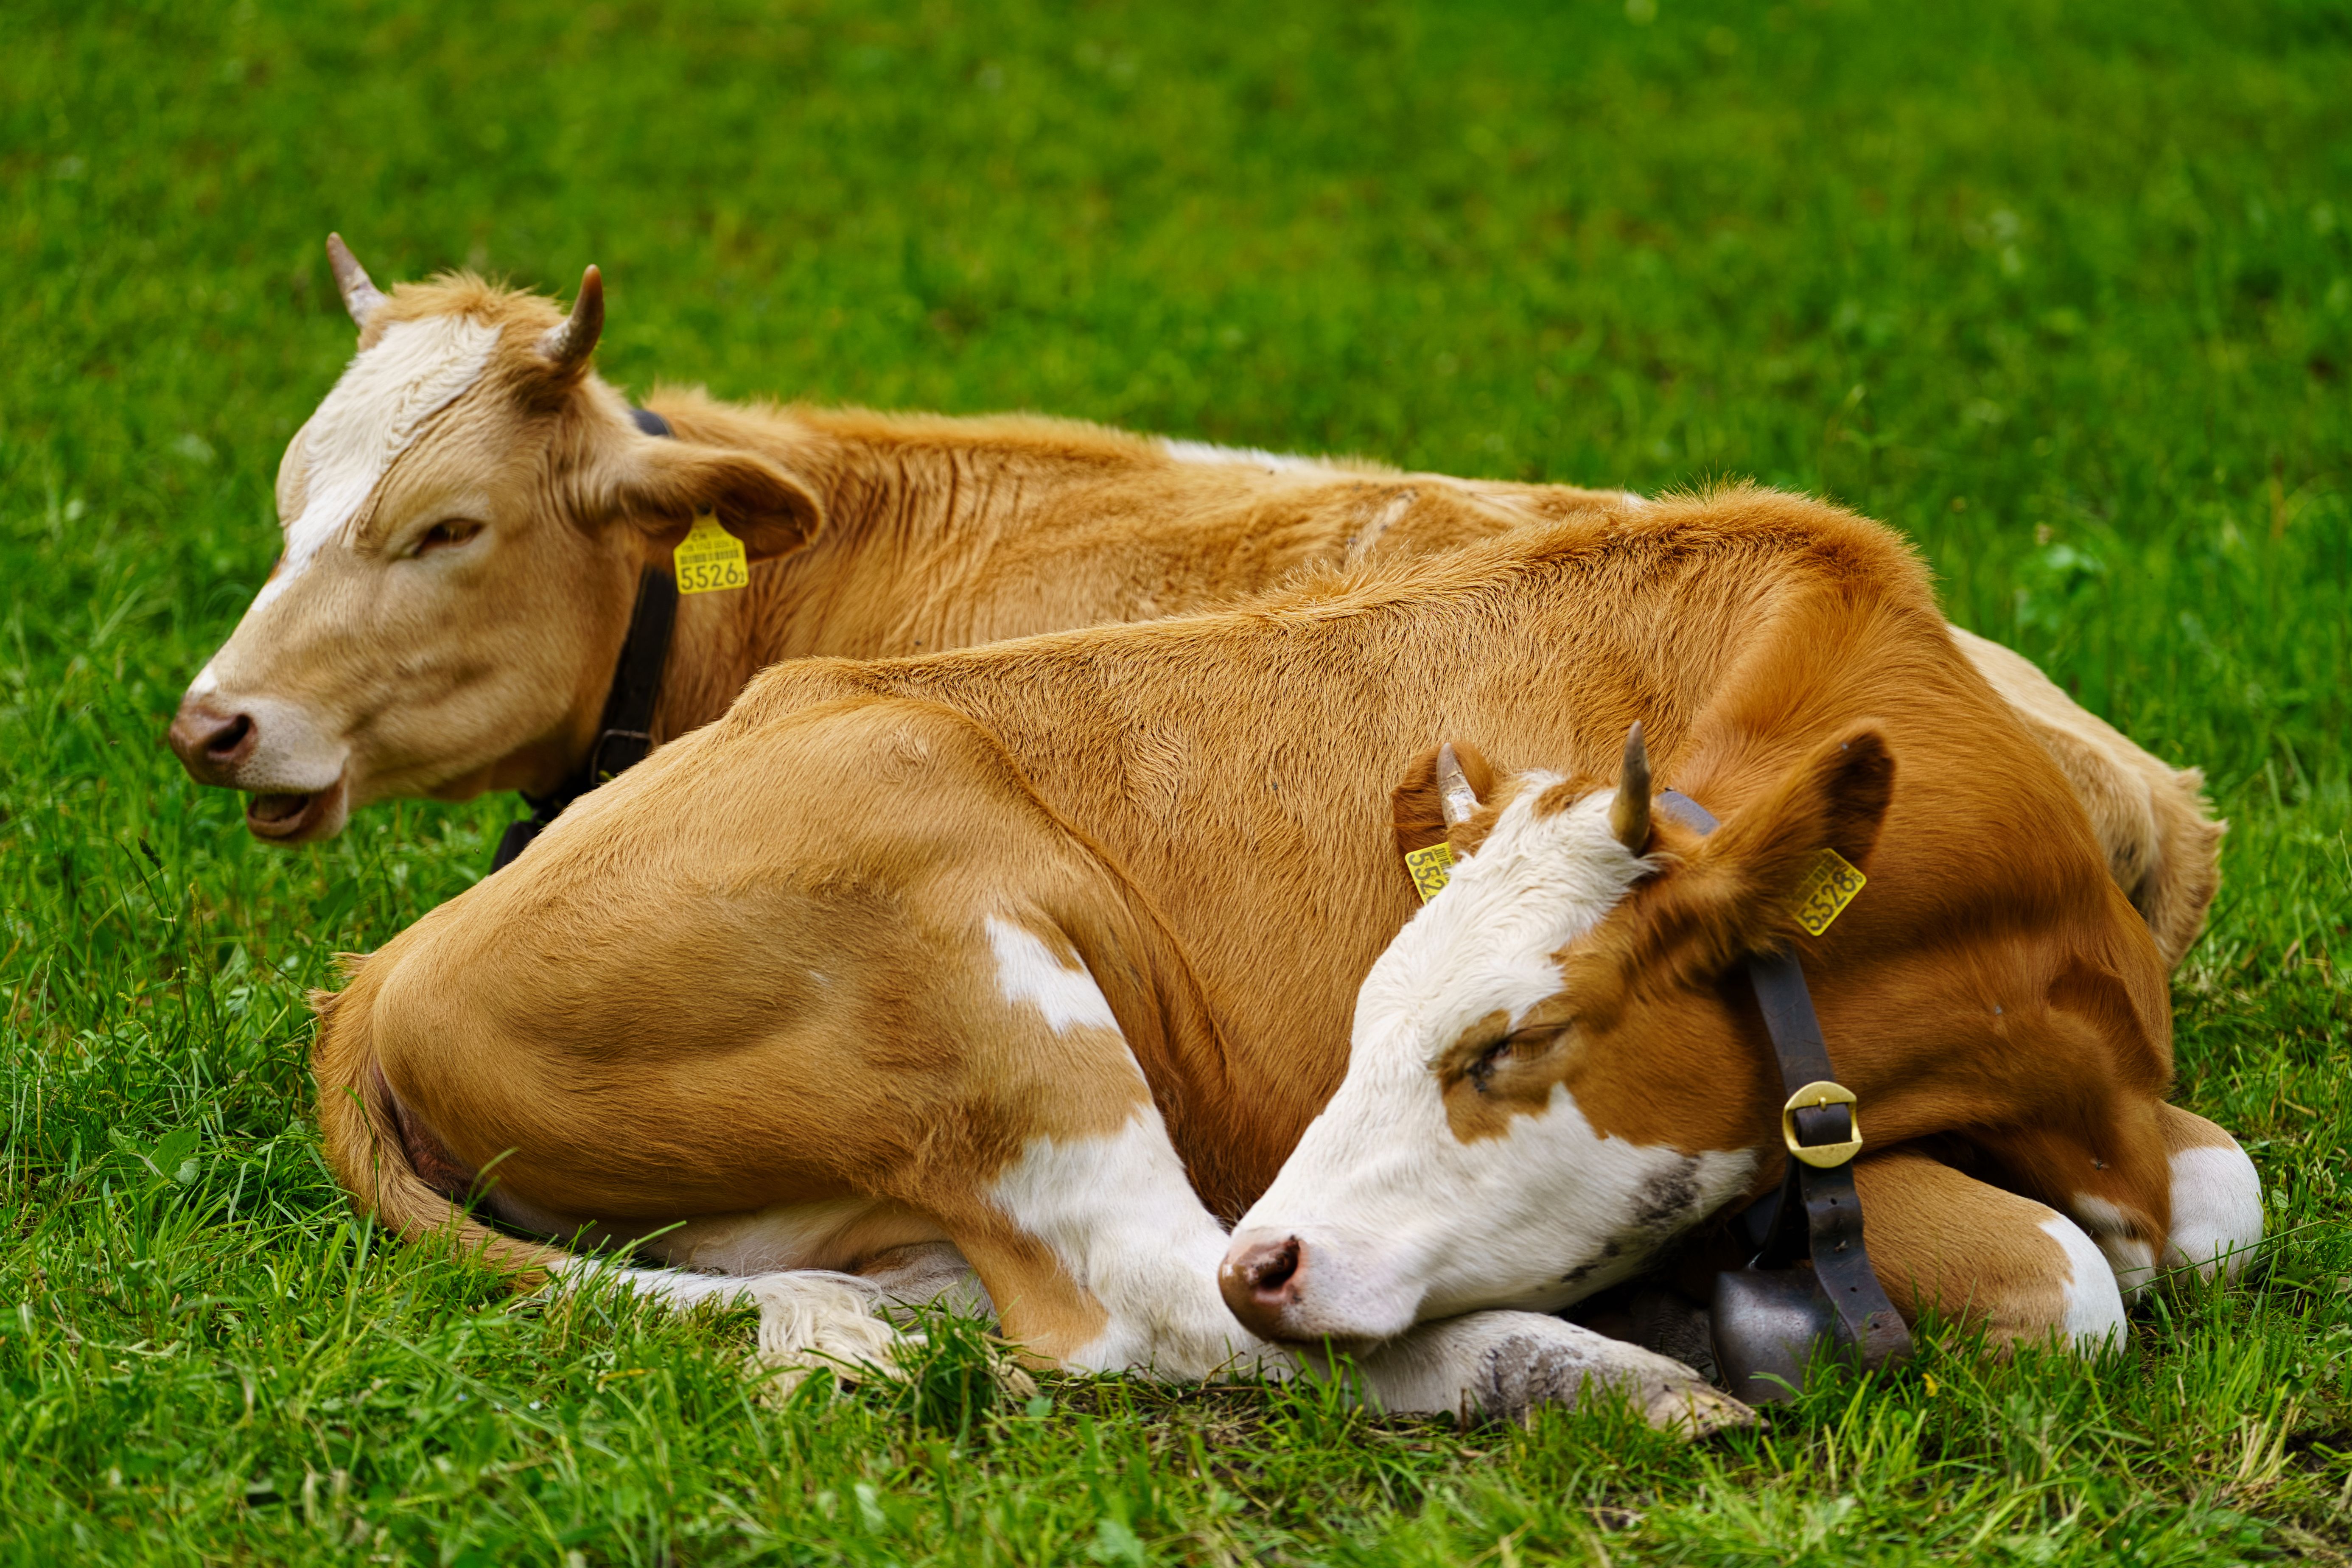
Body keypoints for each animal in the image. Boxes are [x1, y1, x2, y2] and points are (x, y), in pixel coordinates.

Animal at [311, 488, 2216, 1426]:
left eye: (1506, 1044)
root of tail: (390, 962)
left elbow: (2219, 1203)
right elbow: (2076, 1280)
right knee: (1165, 1304)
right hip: (967, 940)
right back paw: (1586, 1369)